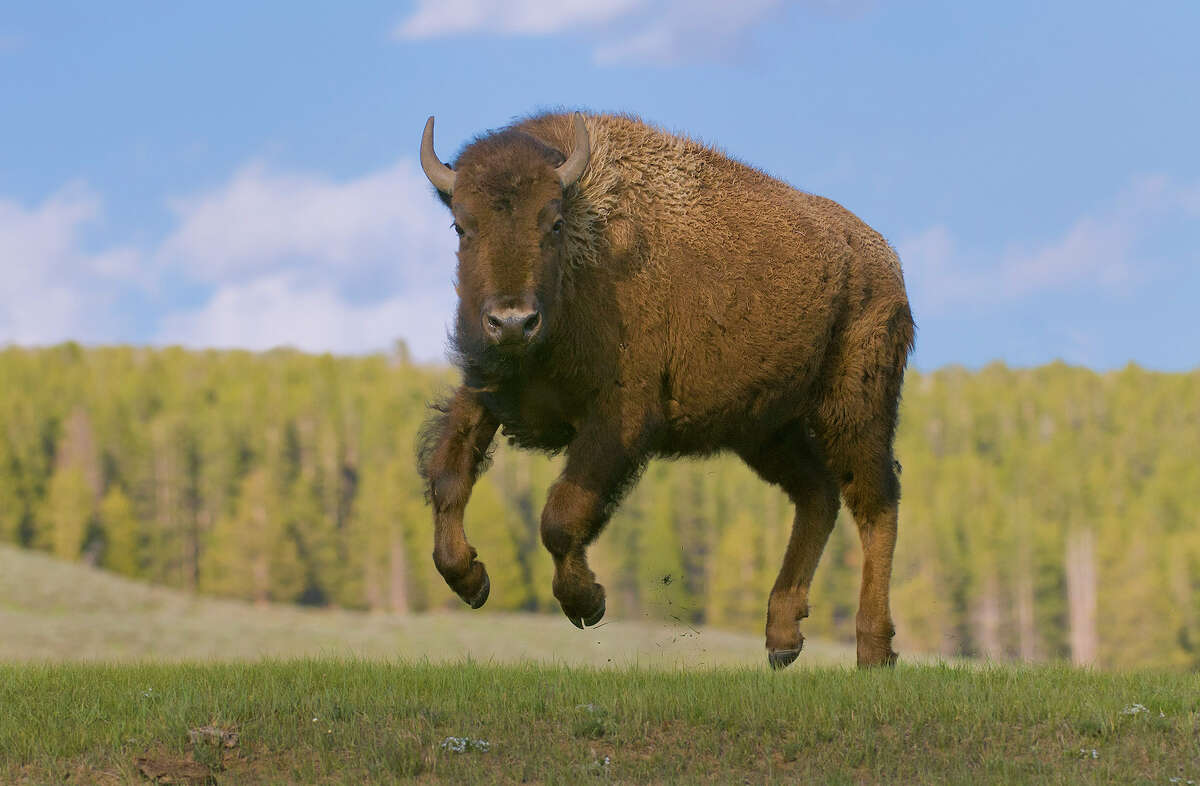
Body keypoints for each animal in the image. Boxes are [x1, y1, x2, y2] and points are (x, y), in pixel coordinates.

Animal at [417, 112, 914, 668]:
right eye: (462, 225)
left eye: (554, 223)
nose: (511, 322)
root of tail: (884, 260)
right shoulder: (485, 389)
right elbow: (448, 474)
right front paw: (471, 581)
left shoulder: (621, 420)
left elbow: (561, 516)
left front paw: (587, 603)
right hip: (765, 429)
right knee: (818, 494)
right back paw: (783, 638)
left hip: (855, 411)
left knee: (875, 505)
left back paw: (874, 649)